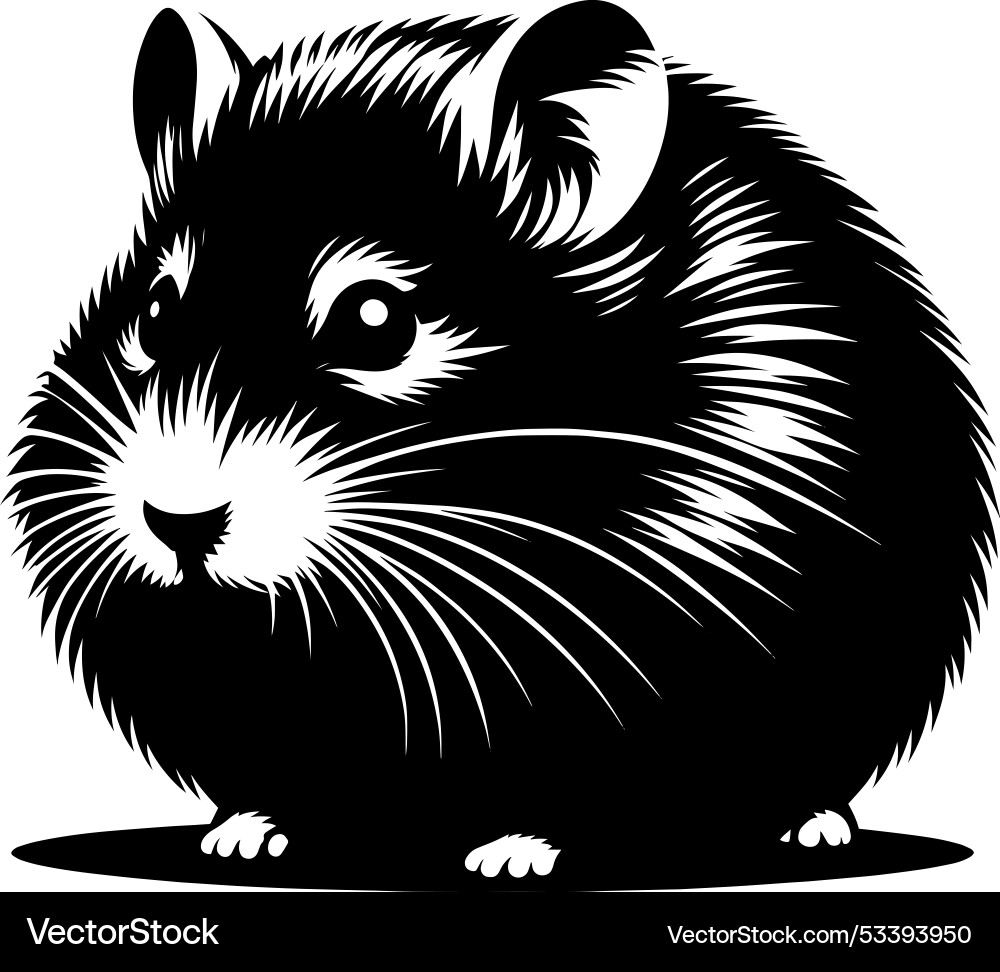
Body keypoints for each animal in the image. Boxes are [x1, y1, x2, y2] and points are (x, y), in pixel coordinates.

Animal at [9, 2, 994, 881]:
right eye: (156, 313)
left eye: (376, 319)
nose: (178, 525)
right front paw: (242, 836)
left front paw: (511, 858)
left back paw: (815, 829)